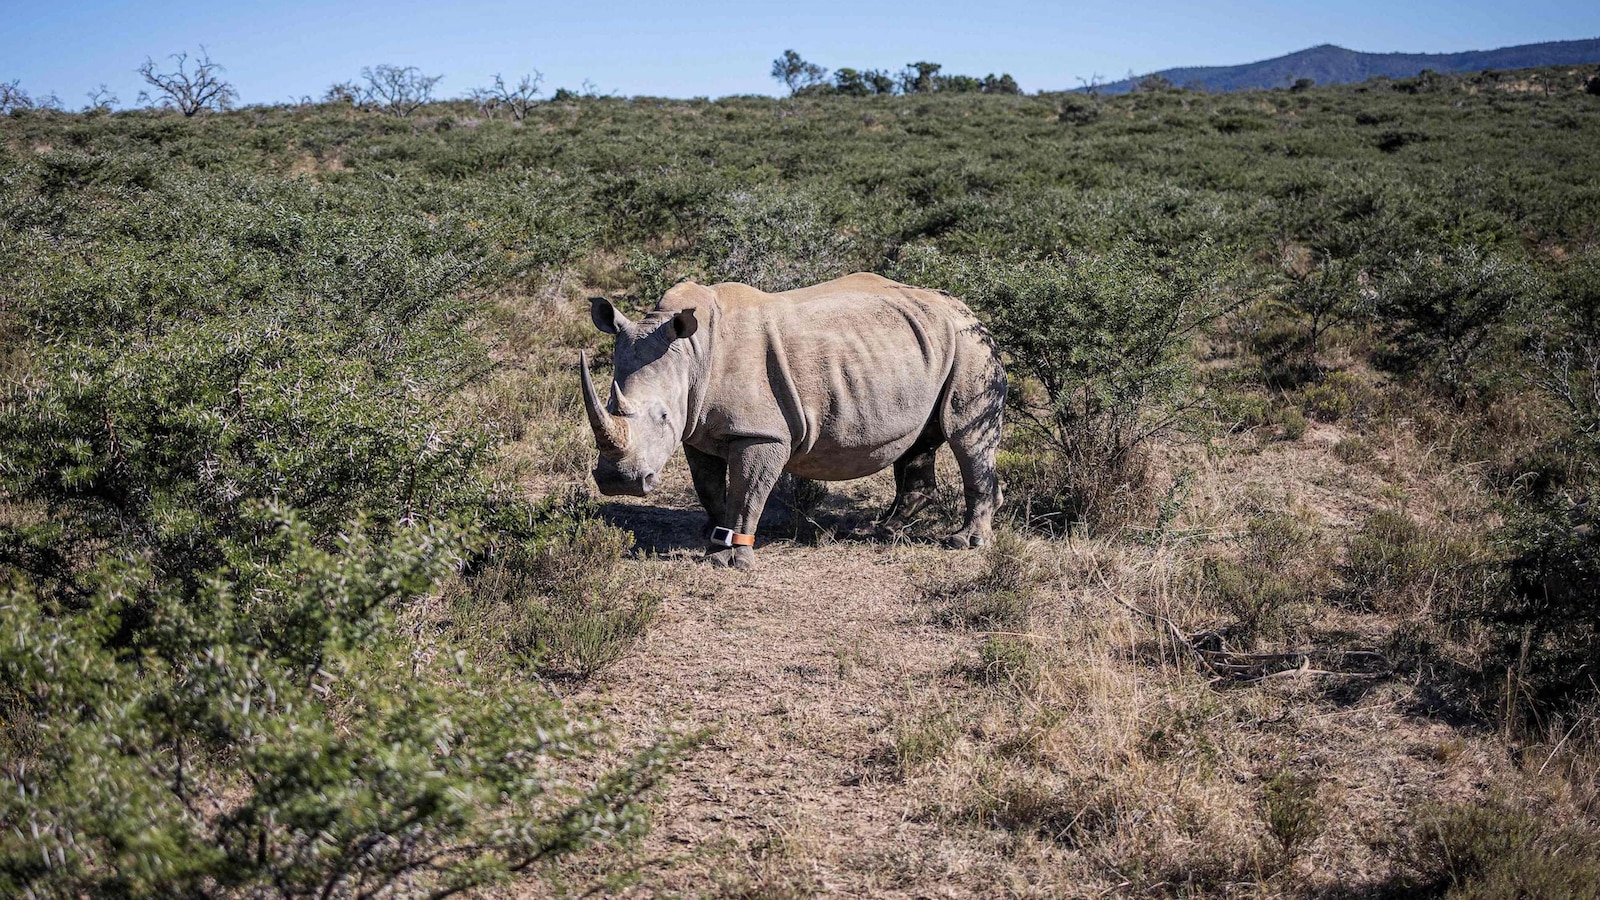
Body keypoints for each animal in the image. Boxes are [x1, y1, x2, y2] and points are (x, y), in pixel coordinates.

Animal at [580, 273, 1005, 570]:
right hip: (923, 346)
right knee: (918, 442)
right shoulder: (696, 429)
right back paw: (882, 530)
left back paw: (964, 542)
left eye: (664, 416)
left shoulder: (761, 434)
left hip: (971, 345)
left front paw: (731, 560)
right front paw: (713, 539)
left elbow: (747, 493)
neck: (691, 353)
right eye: (609, 402)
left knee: (965, 436)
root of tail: (969, 309)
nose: (619, 482)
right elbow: (709, 487)